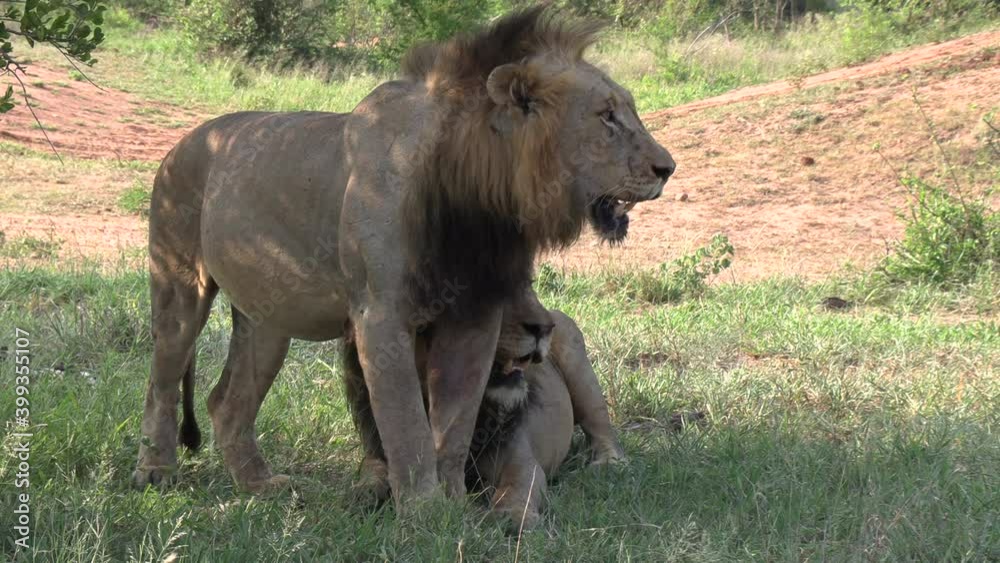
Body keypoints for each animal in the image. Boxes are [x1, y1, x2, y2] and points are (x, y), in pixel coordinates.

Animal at [134, 6, 673, 503]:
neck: (480, 201)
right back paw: (156, 473)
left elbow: (454, 422)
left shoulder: (476, 314)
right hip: (178, 282)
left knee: (227, 401)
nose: (667, 168)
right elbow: (407, 424)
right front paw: (422, 513)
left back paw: (260, 485)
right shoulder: (380, 314)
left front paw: (453, 506)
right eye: (606, 115)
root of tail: (182, 142)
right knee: (162, 382)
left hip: (266, 319)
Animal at [344, 285, 625, 528]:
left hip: (579, 367)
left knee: (601, 429)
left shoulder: (522, 459)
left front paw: (510, 516)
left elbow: (517, 487)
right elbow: (369, 470)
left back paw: (606, 464)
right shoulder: (381, 450)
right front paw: (362, 494)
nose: (544, 328)